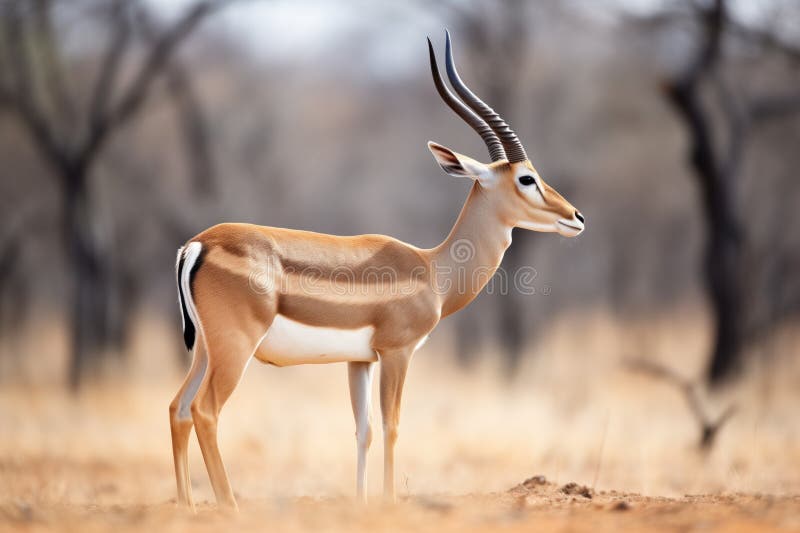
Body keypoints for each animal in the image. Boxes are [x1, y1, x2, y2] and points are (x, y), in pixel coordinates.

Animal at [170, 31, 584, 510]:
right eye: (526, 178)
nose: (576, 216)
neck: (433, 269)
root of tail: (198, 244)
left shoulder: (359, 361)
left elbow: (363, 431)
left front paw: (362, 502)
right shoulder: (397, 353)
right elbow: (392, 426)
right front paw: (387, 502)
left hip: (205, 349)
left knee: (177, 409)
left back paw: (187, 507)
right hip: (235, 348)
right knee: (205, 411)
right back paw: (230, 508)